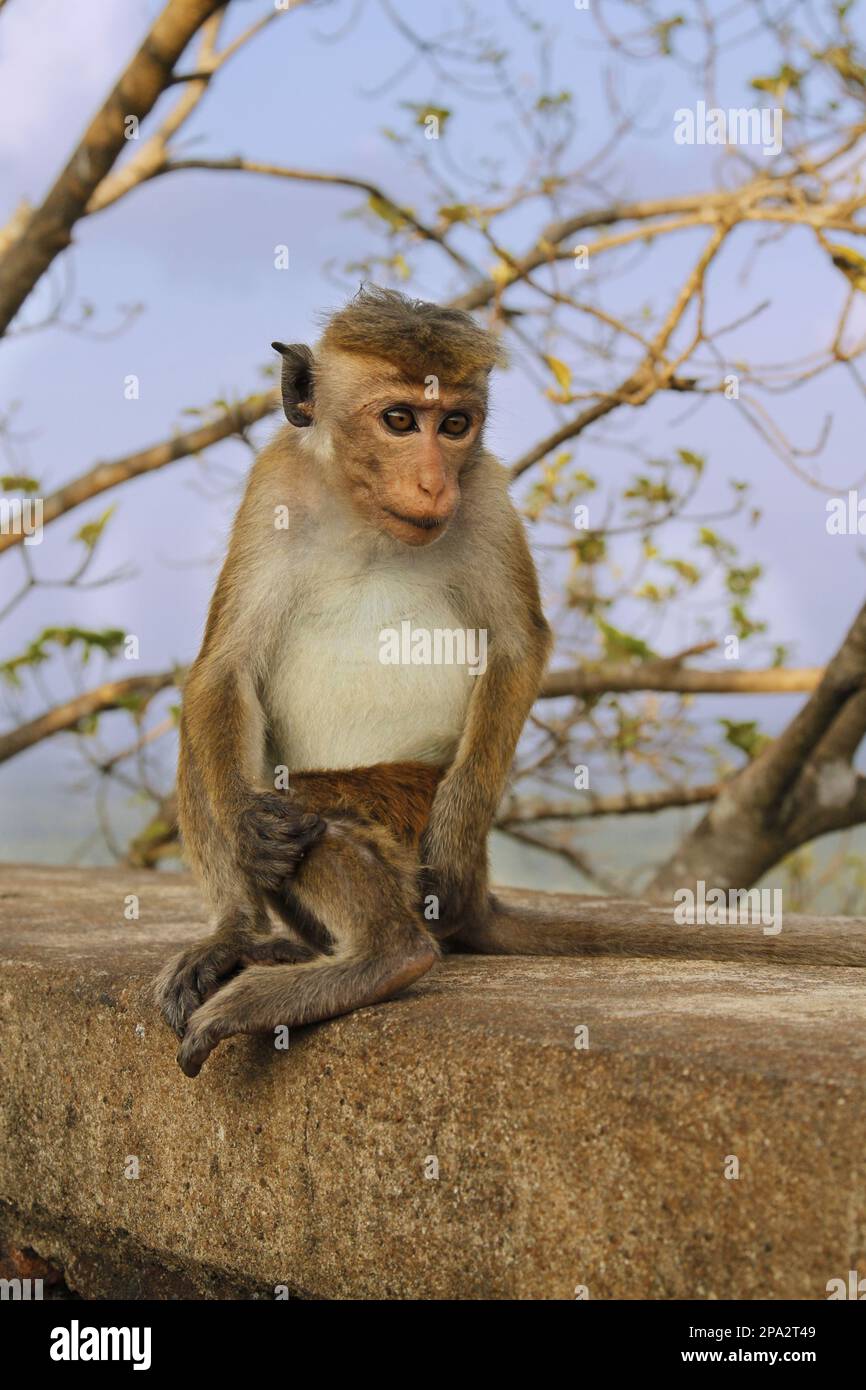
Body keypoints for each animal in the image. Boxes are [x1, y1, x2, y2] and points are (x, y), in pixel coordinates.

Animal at [155, 285, 863, 1079]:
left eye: (455, 424)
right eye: (399, 420)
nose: (434, 481)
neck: (367, 518)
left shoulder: (487, 490)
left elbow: (520, 647)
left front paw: (454, 830)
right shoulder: (273, 481)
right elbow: (225, 667)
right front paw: (245, 843)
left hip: (409, 815)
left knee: (319, 814)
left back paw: (382, 956)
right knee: (216, 745)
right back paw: (240, 937)